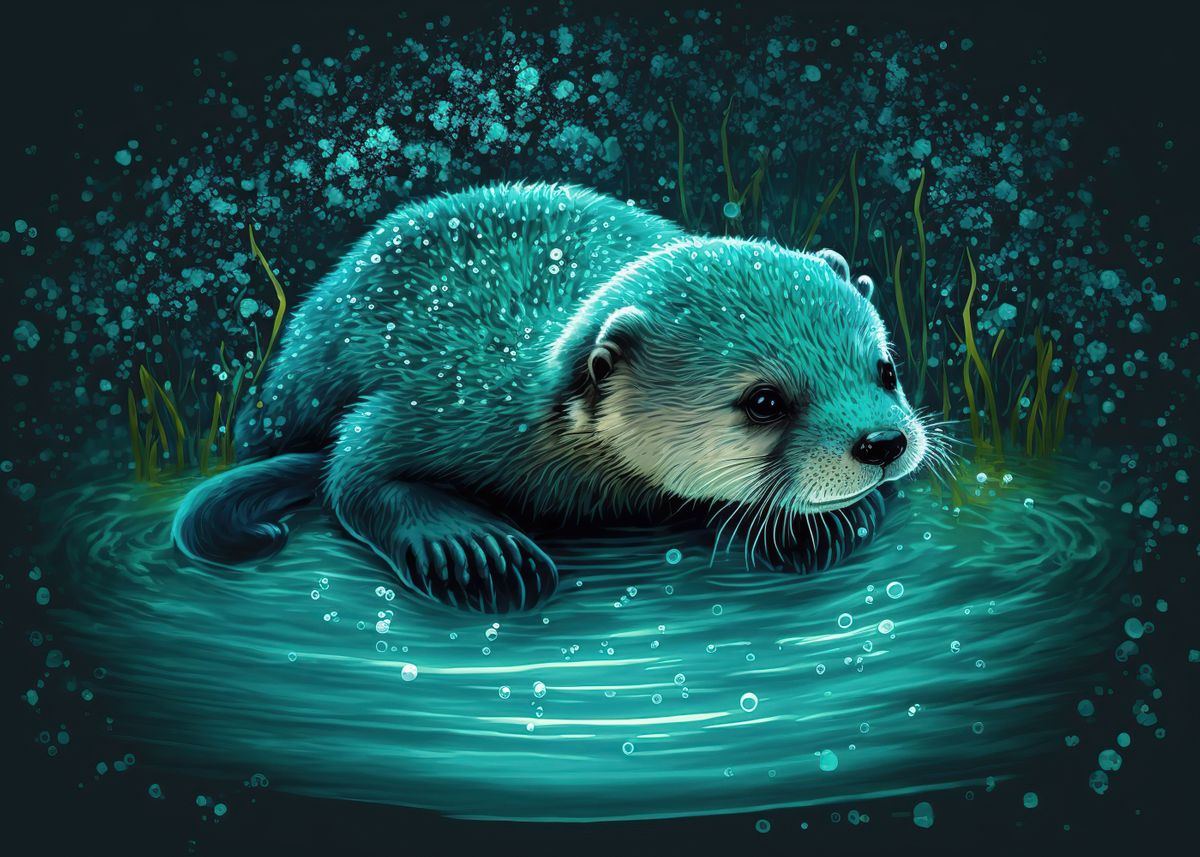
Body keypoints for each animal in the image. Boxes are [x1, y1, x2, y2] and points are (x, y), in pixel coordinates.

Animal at [173, 183, 929, 613]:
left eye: (885, 369)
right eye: (764, 401)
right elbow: (355, 470)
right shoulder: (436, 400)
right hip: (300, 371)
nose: (882, 442)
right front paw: (474, 550)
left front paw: (825, 522)